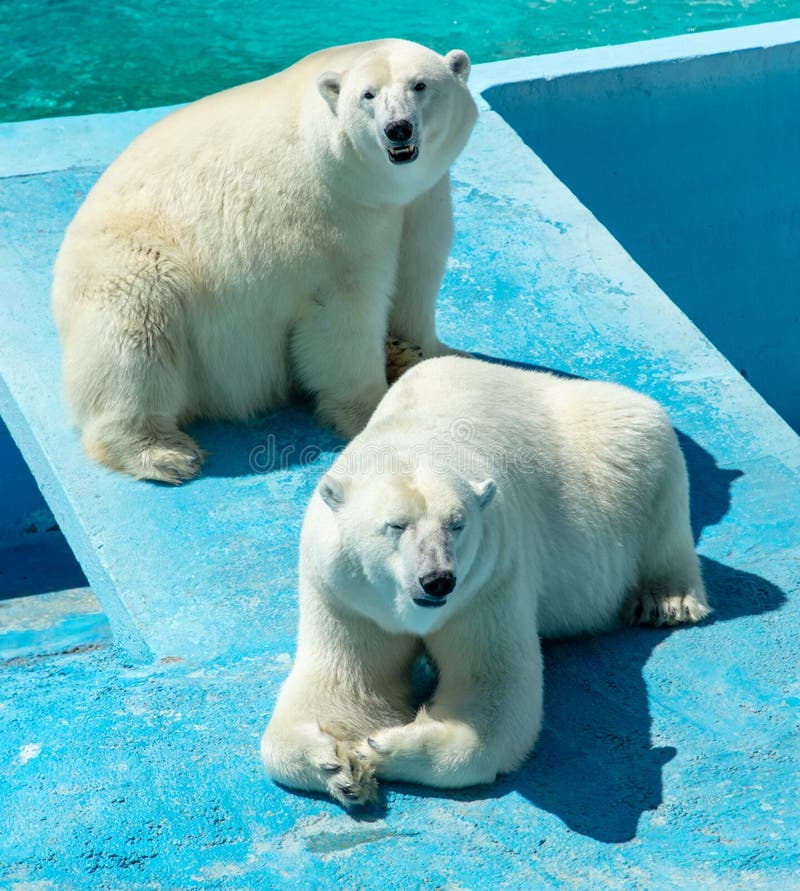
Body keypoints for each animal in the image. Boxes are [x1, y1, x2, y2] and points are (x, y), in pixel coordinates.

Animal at [51, 40, 477, 483]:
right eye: (368, 95)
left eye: (420, 84)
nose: (398, 129)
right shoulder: (335, 217)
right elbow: (344, 311)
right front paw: (371, 411)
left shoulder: (423, 199)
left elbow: (417, 275)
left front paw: (435, 356)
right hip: (137, 264)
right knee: (137, 334)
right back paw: (164, 452)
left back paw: (398, 352)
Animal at [260, 356, 710, 806]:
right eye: (396, 525)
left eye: (456, 525)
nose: (437, 580)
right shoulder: (345, 595)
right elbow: (340, 687)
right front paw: (340, 766)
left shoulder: (489, 581)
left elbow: (494, 691)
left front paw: (386, 747)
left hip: (620, 455)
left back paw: (668, 600)